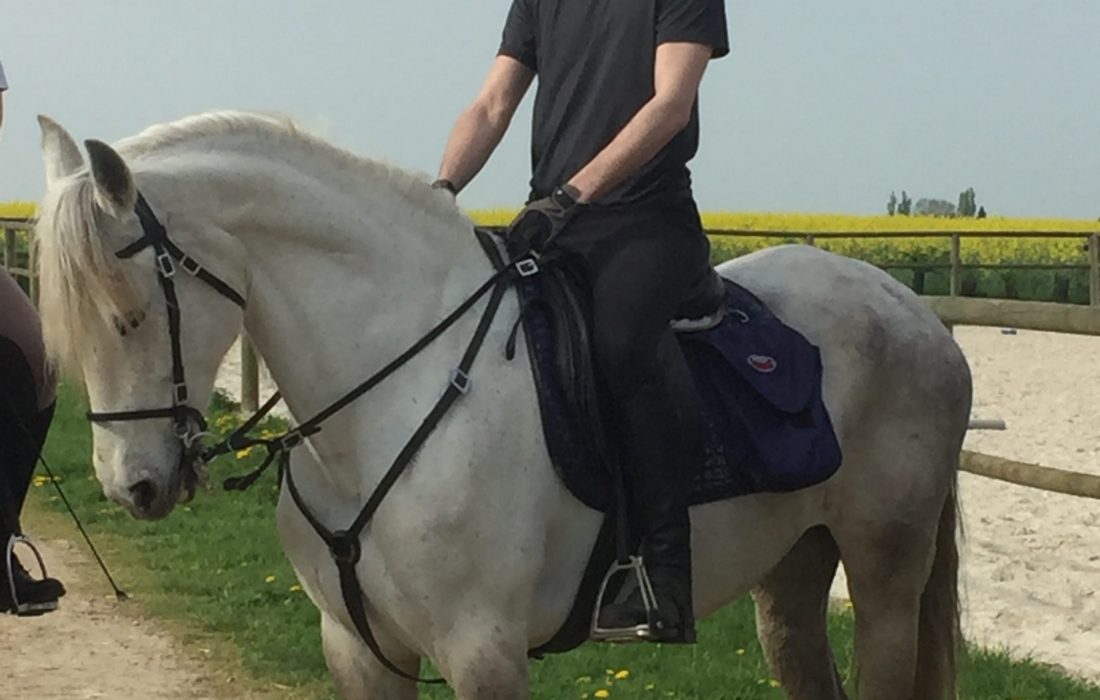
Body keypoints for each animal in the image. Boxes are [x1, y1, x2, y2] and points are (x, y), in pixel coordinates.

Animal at [33, 111, 971, 699]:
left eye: (129, 312)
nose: (131, 487)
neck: (387, 402)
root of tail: (917, 314)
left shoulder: (481, 651)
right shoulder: (360, 651)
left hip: (885, 574)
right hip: (796, 568)